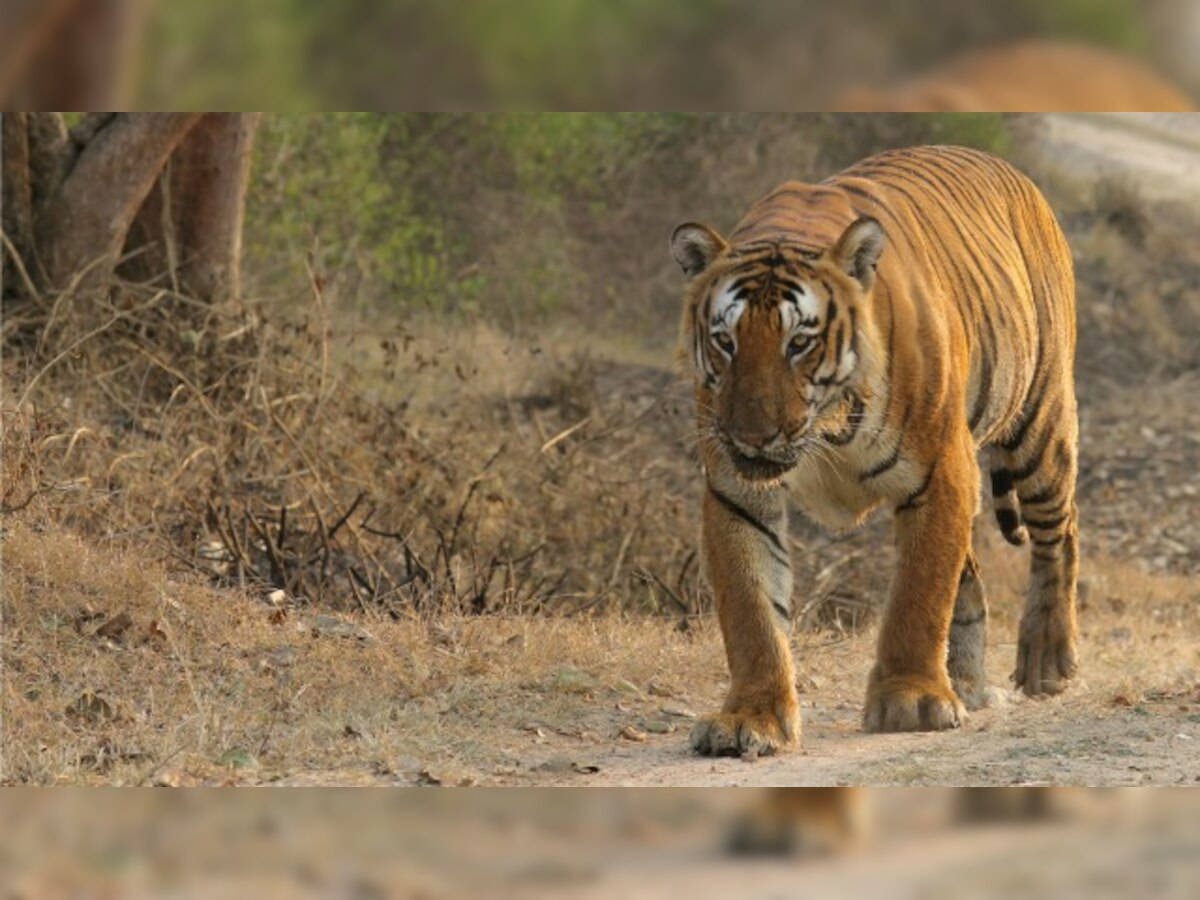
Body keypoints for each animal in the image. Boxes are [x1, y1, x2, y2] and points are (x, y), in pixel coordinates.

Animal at [671, 144, 1079, 757]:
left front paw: (910, 701)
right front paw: (750, 717)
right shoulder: (736, 492)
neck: (828, 429)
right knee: (972, 572)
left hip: (1039, 420)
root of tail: (1018, 176)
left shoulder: (942, 471)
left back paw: (1048, 660)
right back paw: (967, 683)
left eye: (799, 343)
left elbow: (919, 592)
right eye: (726, 341)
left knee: (1060, 531)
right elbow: (752, 612)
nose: (752, 436)